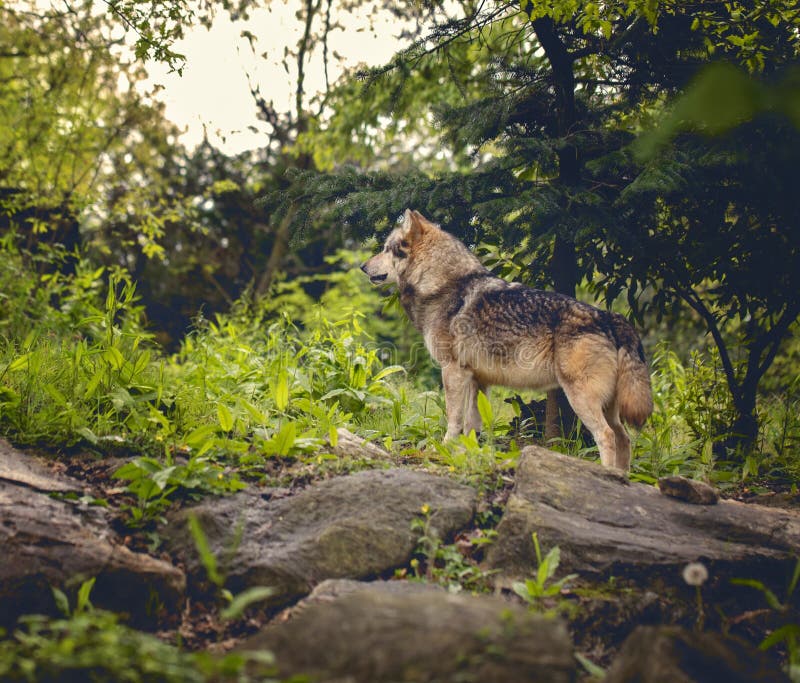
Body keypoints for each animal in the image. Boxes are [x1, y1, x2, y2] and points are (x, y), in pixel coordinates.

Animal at [361, 209, 653, 471]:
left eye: (387, 249)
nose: (362, 267)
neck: (443, 285)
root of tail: (609, 317)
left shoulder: (452, 371)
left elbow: (453, 420)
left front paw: (443, 449)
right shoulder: (478, 380)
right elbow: (472, 426)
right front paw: (468, 454)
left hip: (581, 398)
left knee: (607, 436)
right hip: (609, 406)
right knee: (624, 438)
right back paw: (621, 478)